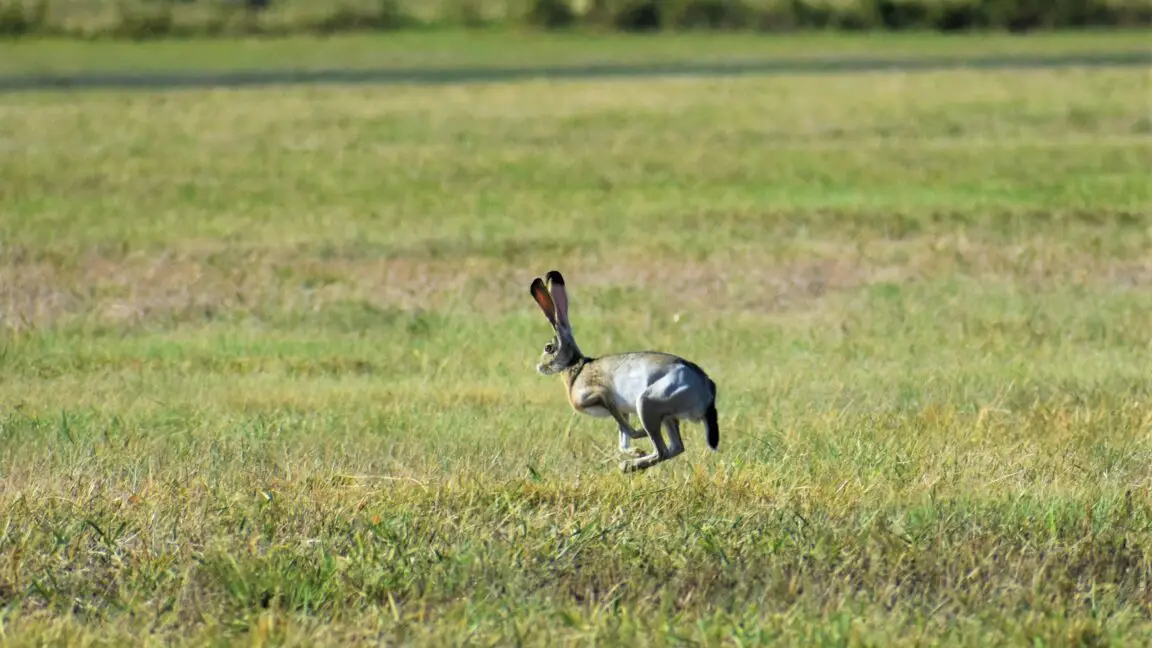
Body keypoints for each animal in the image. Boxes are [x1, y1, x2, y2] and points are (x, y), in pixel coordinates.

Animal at [529, 270, 720, 473]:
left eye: (548, 348)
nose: (539, 367)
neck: (576, 367)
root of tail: (705, 389)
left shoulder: (601, 396)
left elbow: (628, 431)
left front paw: (637, 449)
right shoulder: (623, 411)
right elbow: (623, 440)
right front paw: (636, 451)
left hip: (647, 404)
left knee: (662, 451)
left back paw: (627, 466)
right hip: (666, 415)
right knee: (676, 448)